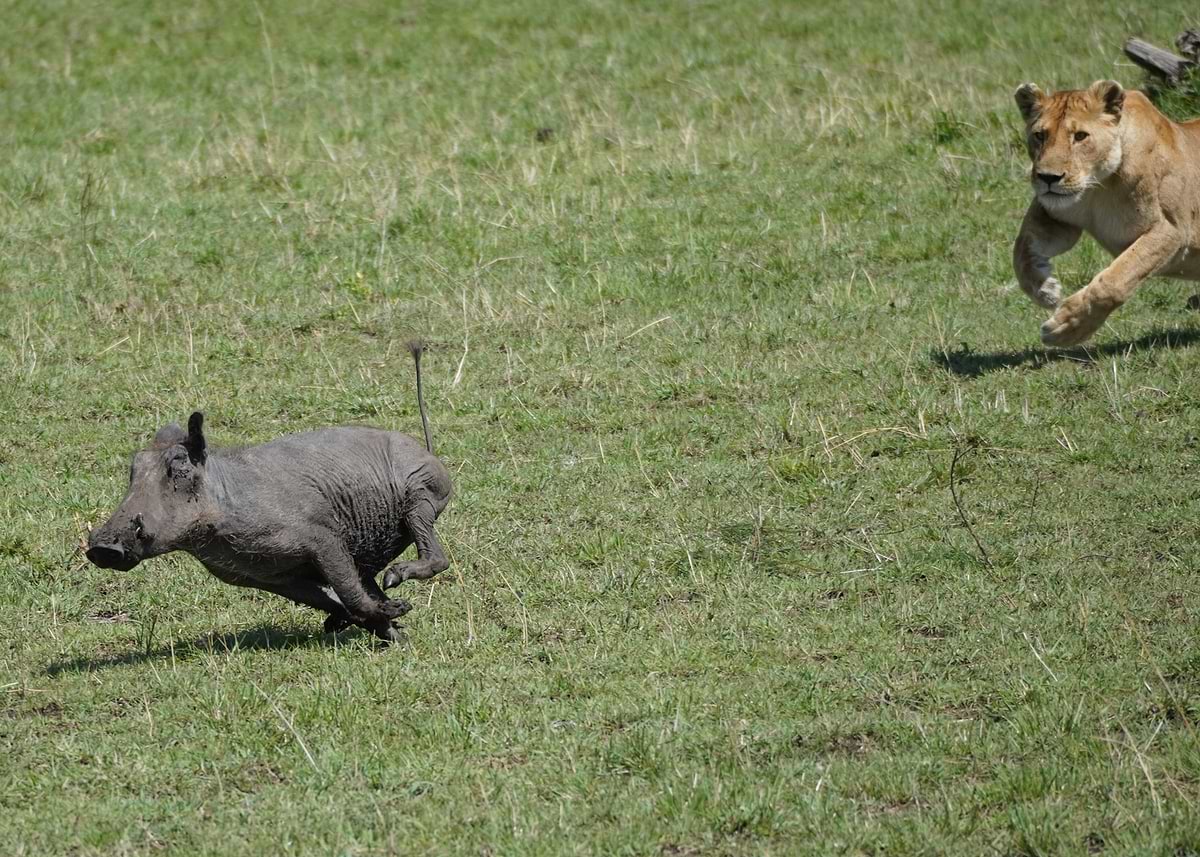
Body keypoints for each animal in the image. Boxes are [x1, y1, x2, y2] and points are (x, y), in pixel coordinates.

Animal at [1012, 79, 1200, 346]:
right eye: (1040, 135)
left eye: (1080, 136)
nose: (1048, 178)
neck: (1098, 186)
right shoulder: (1057, 218)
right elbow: (1021, 249)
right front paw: (1044, 289)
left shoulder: (1171, 230)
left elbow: (1114, 281)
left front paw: (1066, 328)